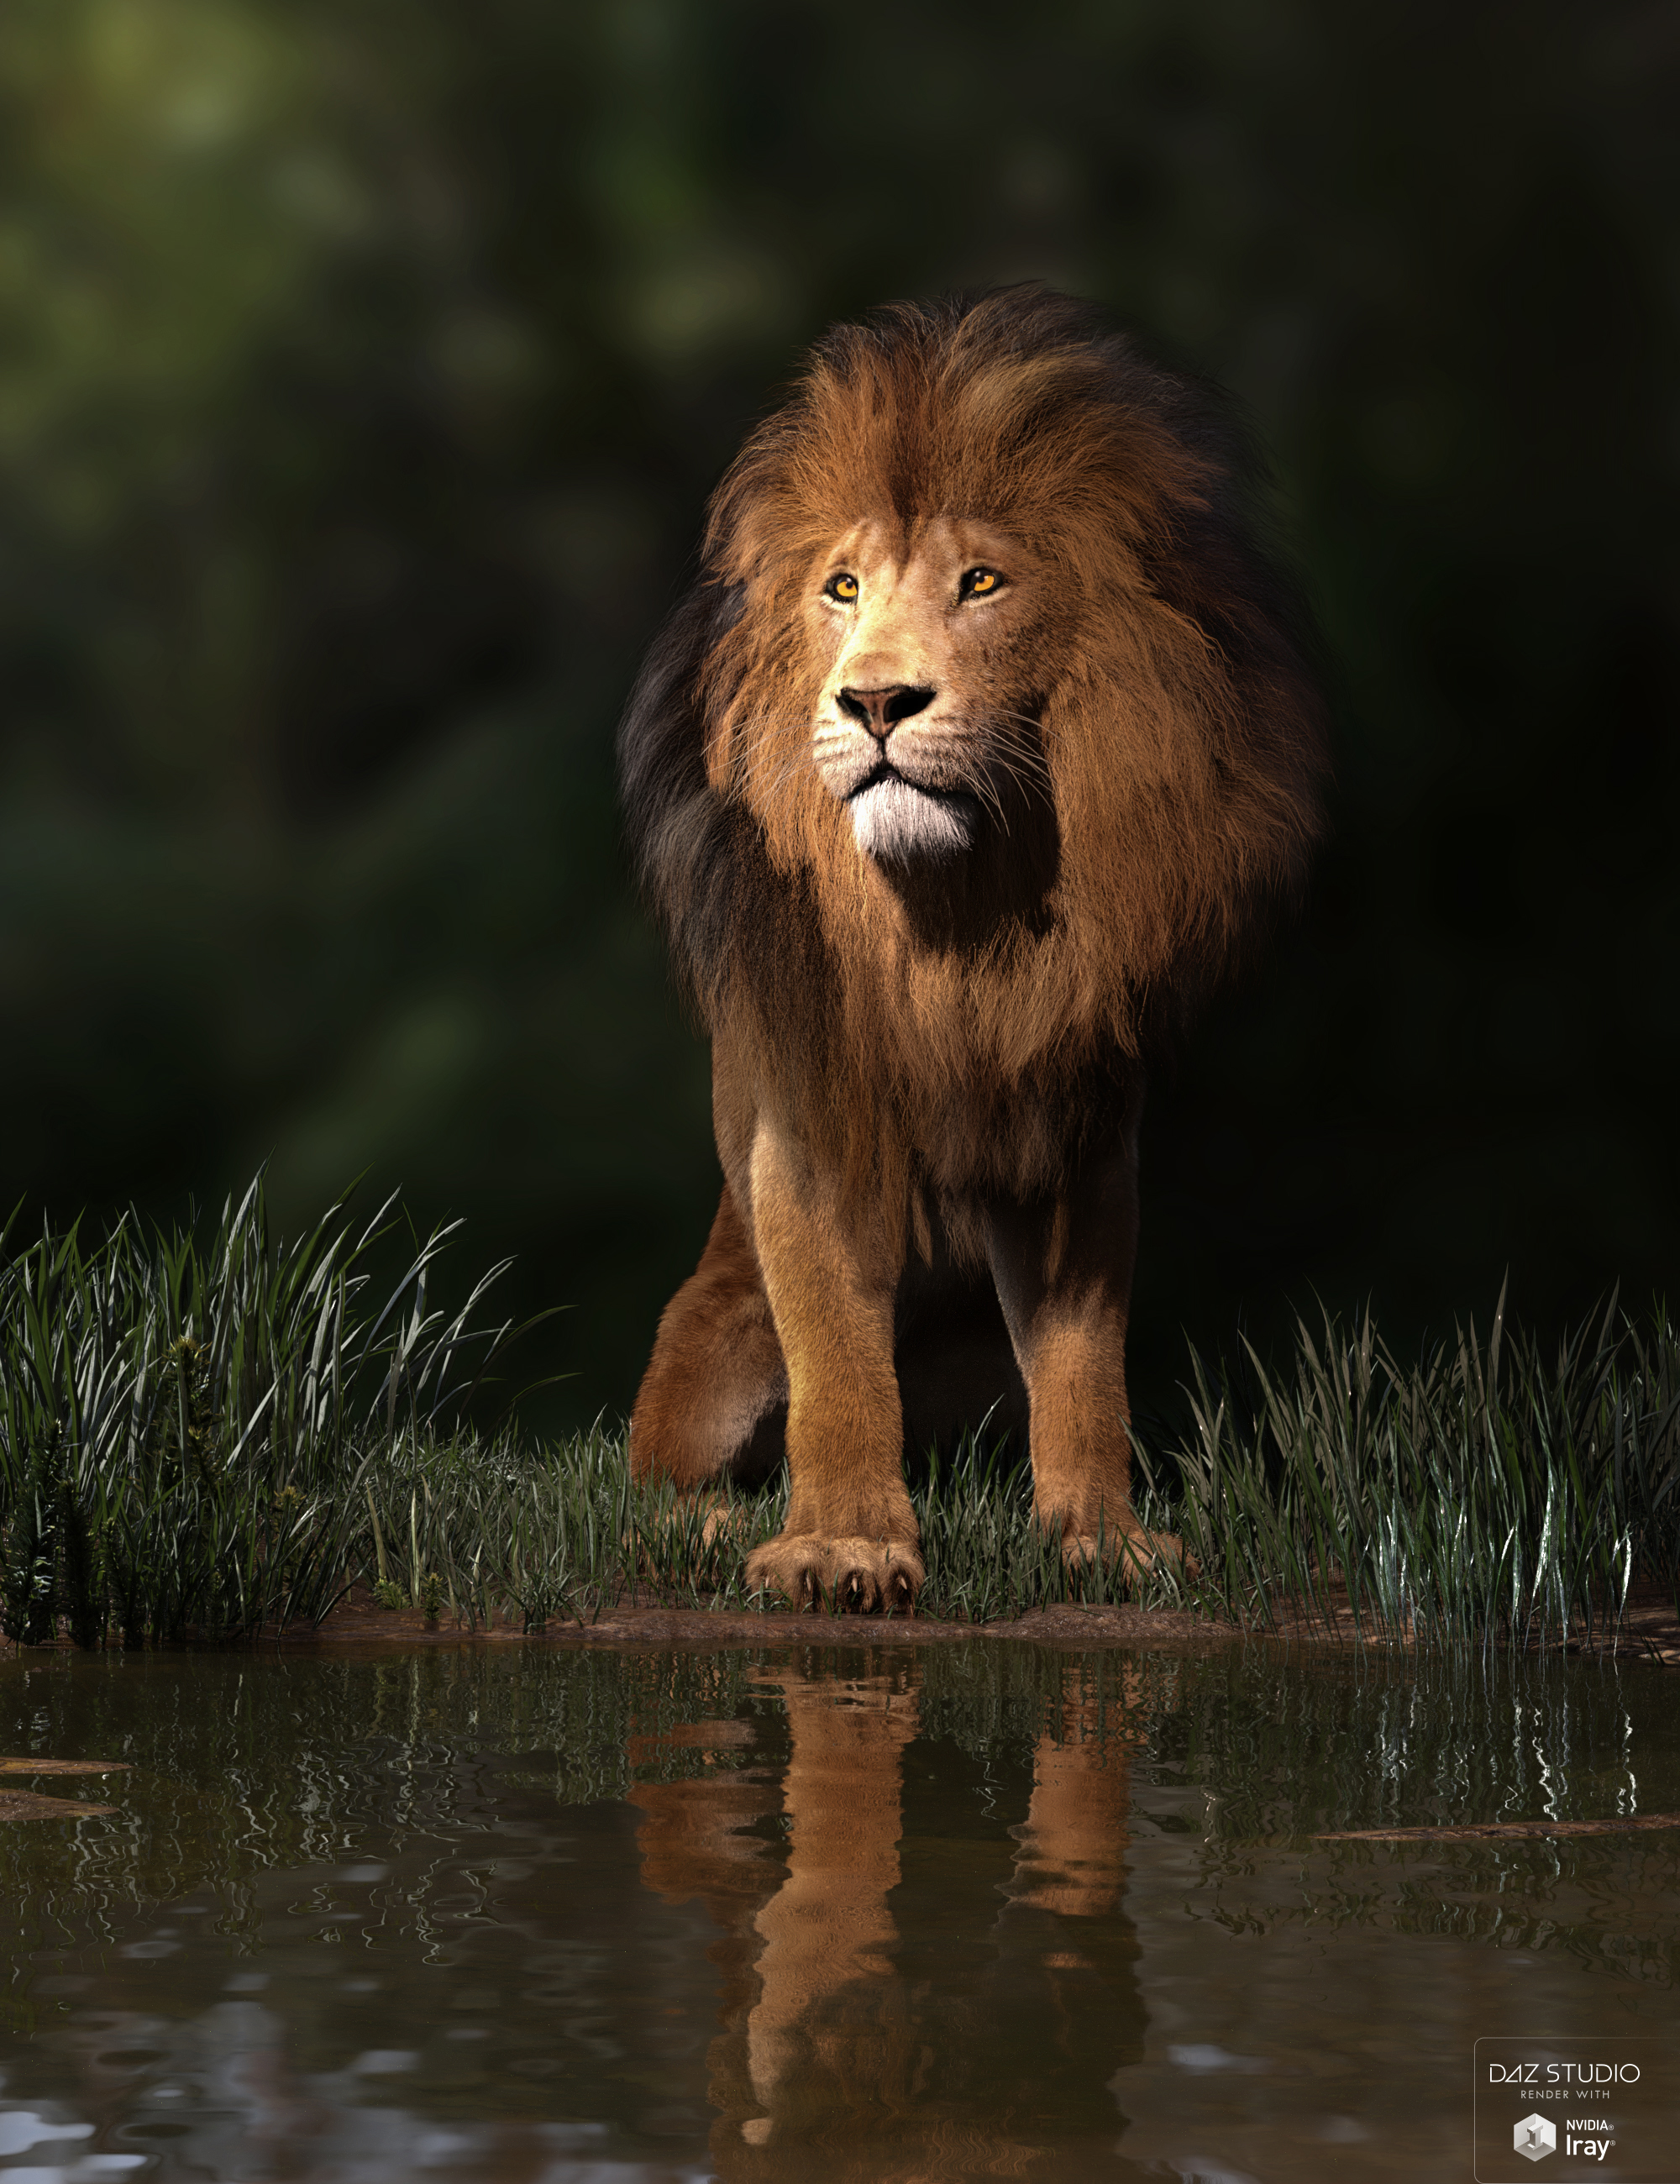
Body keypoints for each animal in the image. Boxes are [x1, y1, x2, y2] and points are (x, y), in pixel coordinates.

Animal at [619, 286, 1327, 1611]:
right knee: (649, 1479)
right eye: (842, 588)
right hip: (709, 1336)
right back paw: (706, 1526)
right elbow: (839, 1359)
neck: (953, 919)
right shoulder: (812, 1121)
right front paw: (843, 1547)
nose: (872, 703)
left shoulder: (1082, 1137)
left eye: (982, 581)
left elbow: (1083, 1365)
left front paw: (1102, 1537)